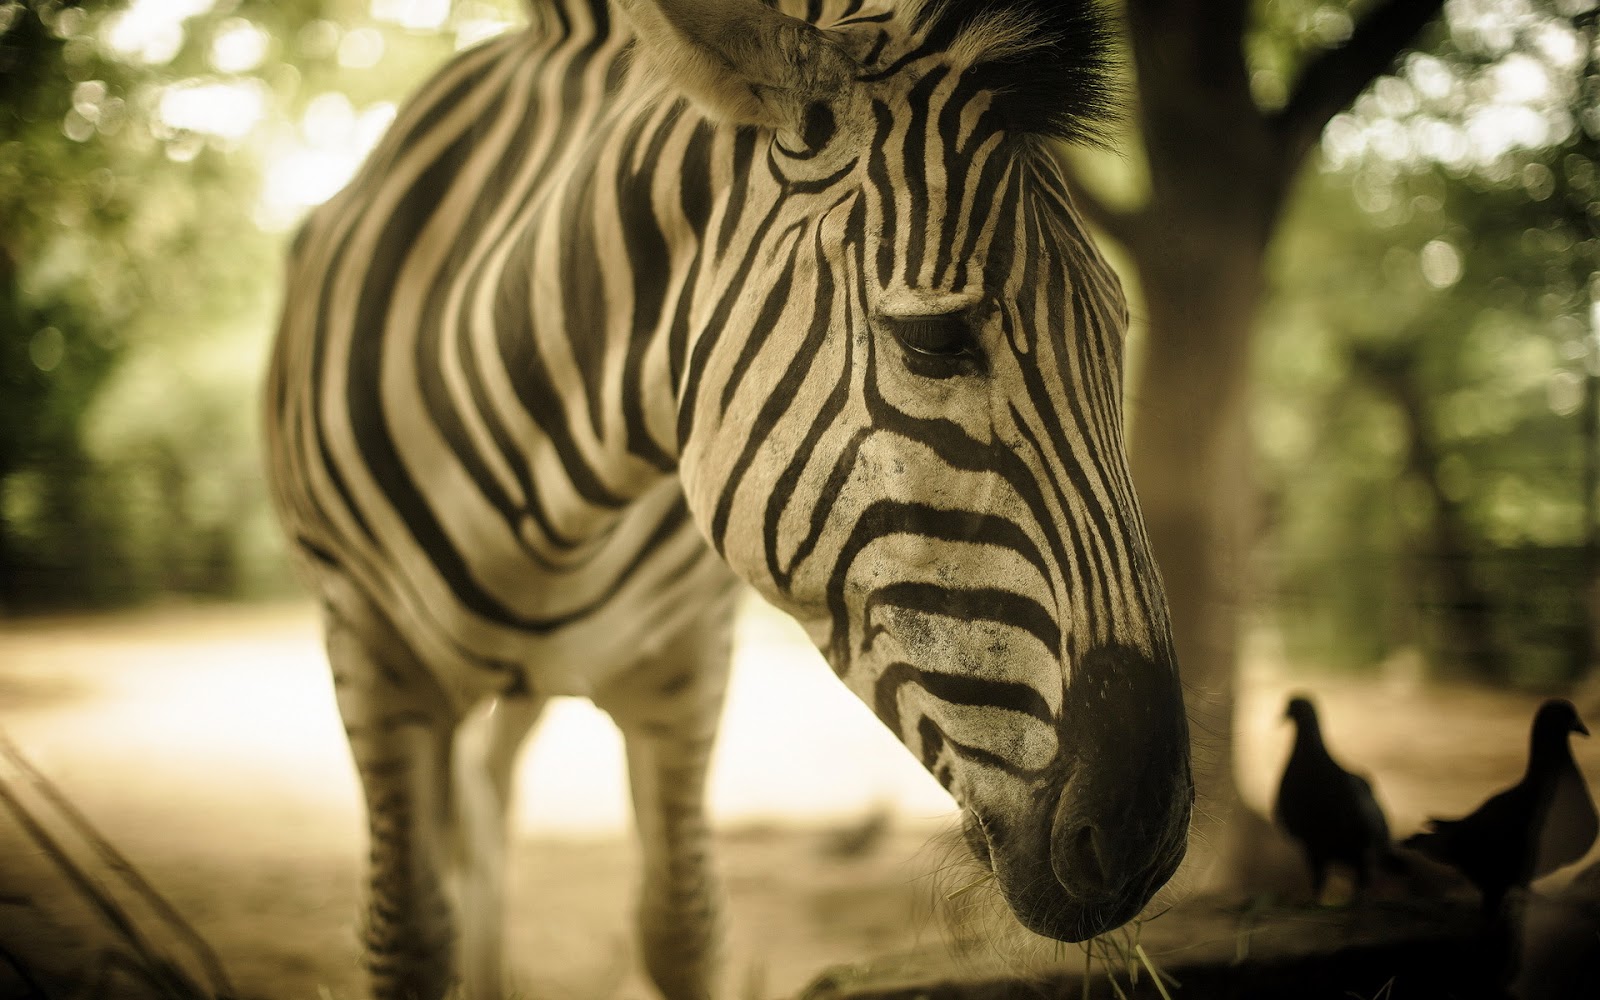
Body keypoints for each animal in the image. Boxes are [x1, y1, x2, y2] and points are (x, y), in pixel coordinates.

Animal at [264, 1, 1192, 998]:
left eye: (1120, 330)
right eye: (933, 339)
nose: (1147, 837)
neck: (550, 509)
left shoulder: (685, 662)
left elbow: (681, 925)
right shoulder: (368, 647)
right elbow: (407, 937)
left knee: (487, 796)